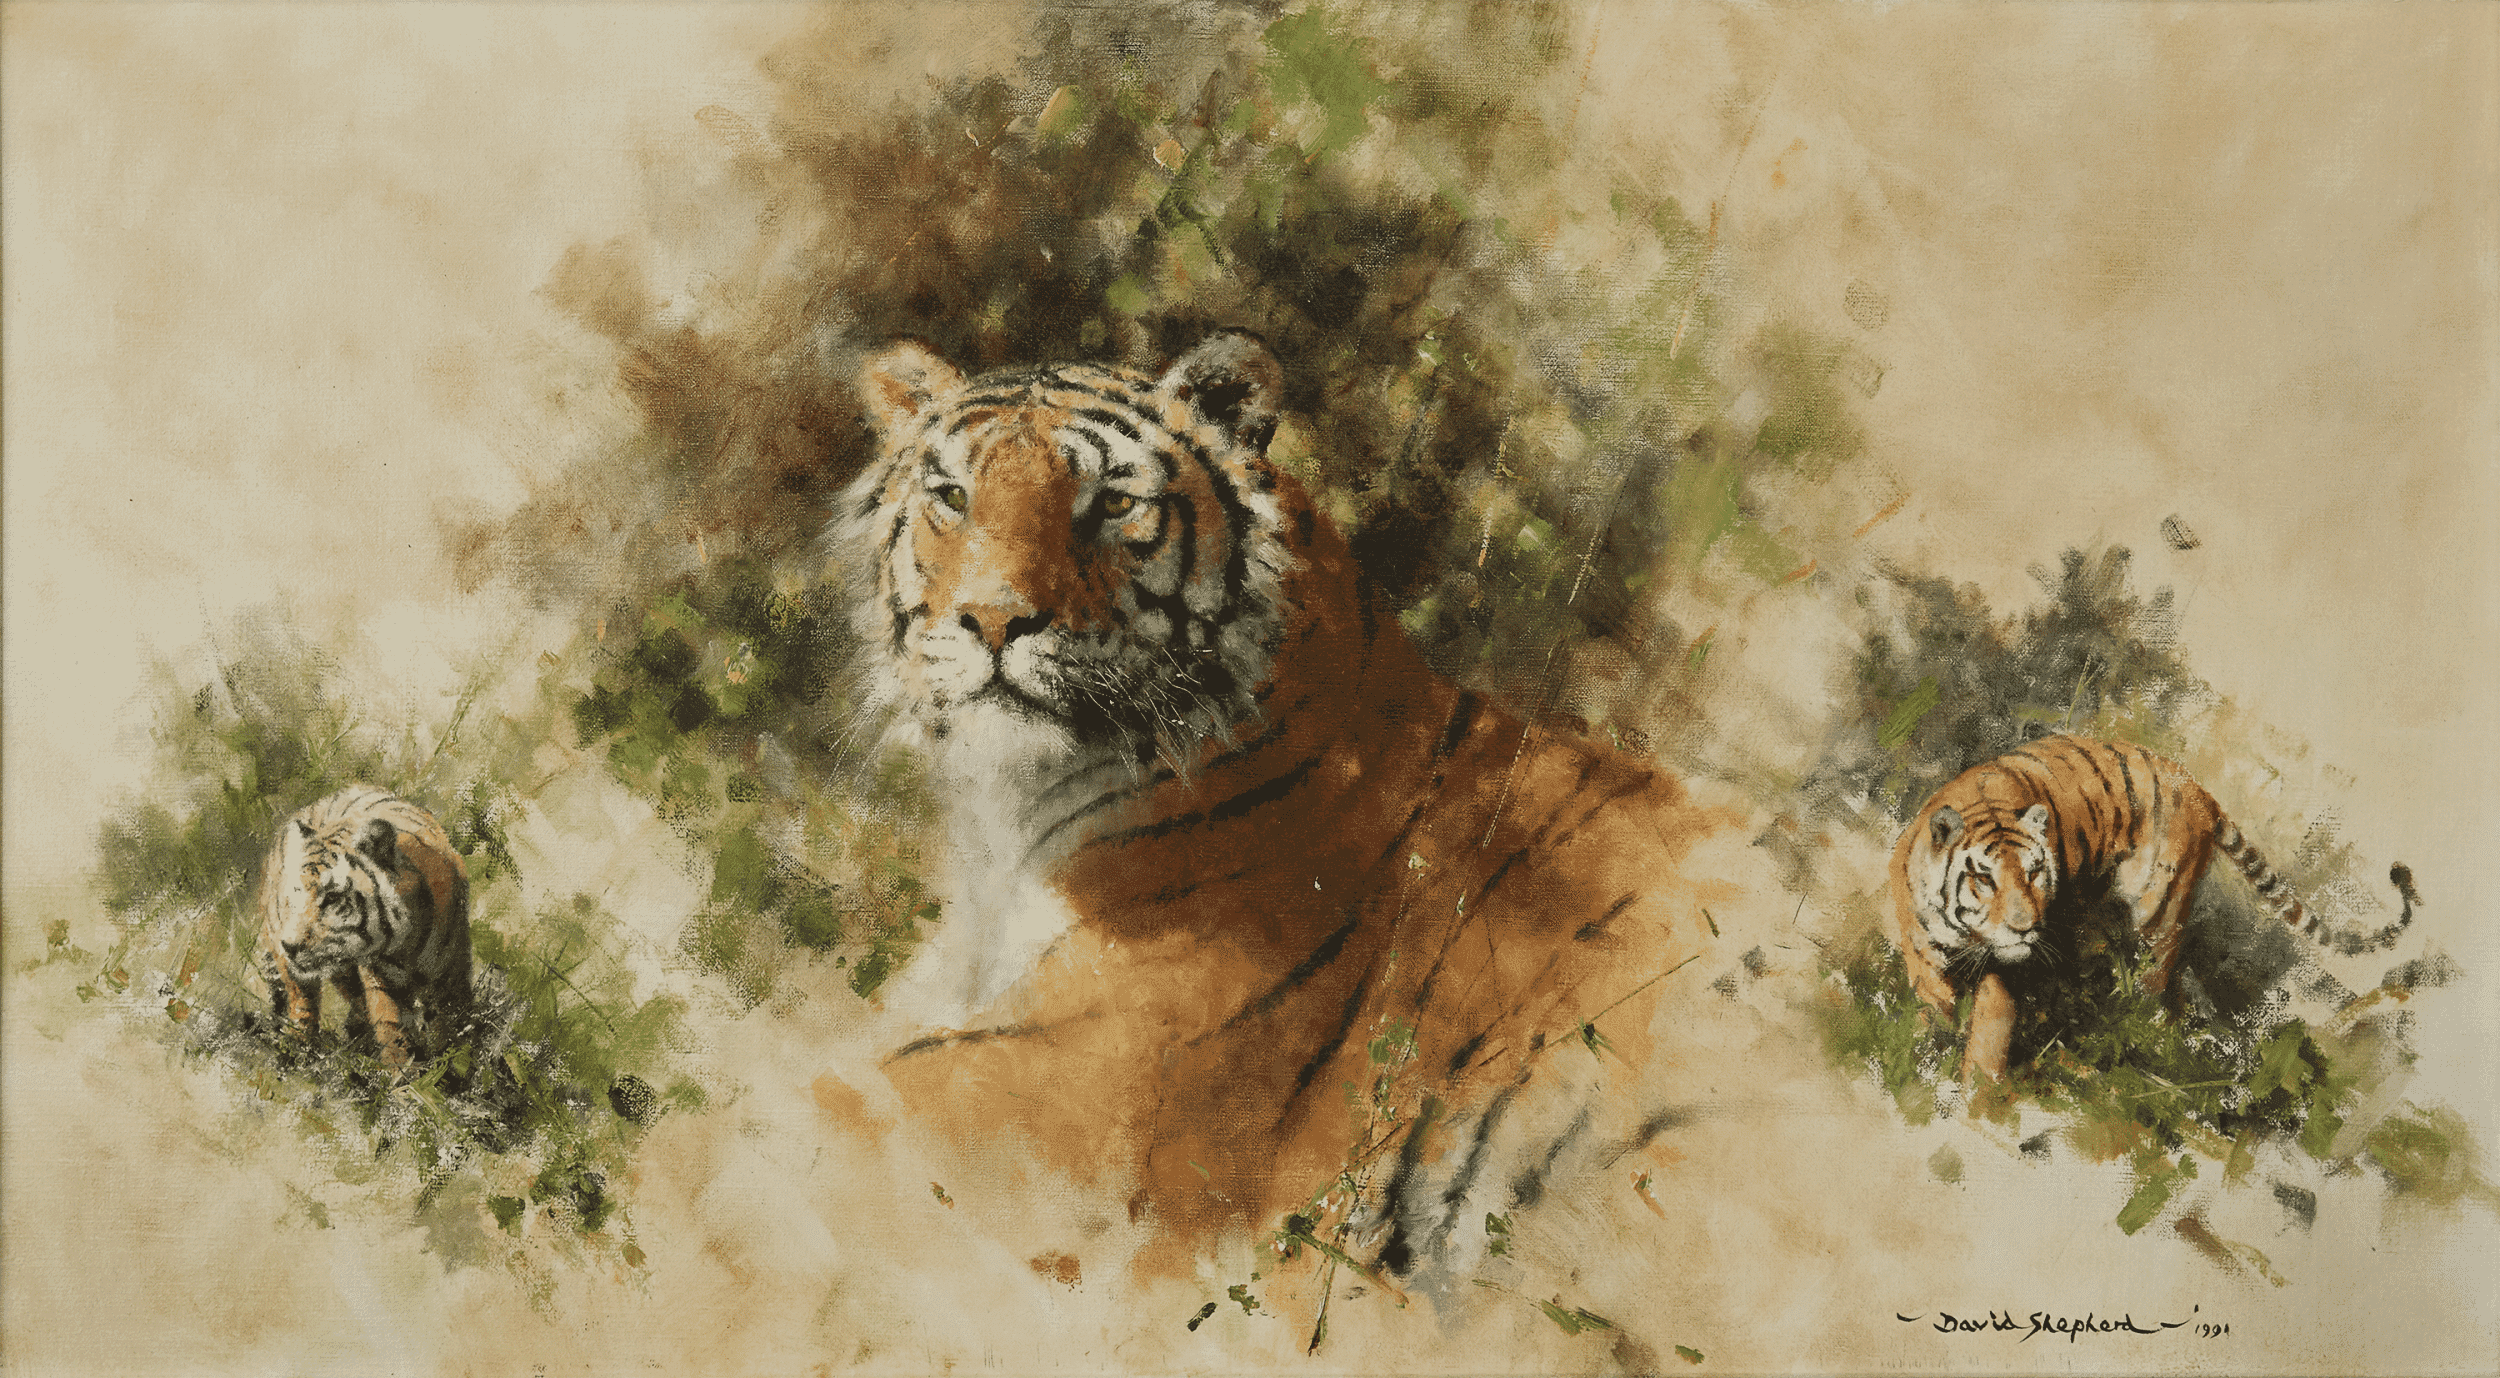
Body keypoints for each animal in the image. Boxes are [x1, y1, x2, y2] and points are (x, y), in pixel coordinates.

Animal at [256, 785, 473, 1068]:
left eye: (332, 897)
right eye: (296, 892)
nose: (289, 945)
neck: (406, 943)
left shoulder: (452, 971)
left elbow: (452, 1025)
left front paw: (457, 1066)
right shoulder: (379, 980)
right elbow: (393, 1032)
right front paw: (405, 1076)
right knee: (302, 1006)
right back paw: (299, 1052)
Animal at [1888, 734, 2417, 1083]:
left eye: (2035, 872)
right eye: (1983, 878)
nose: (2026, 927)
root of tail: (2199, 789)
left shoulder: (2009, 967)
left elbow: (1991, 1028)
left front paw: (1976, 1092)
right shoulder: (1924, 953)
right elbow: (1932, 1012)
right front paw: (1925, 1065)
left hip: (2156, 915)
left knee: (2155, 983)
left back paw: (2141, 1048)